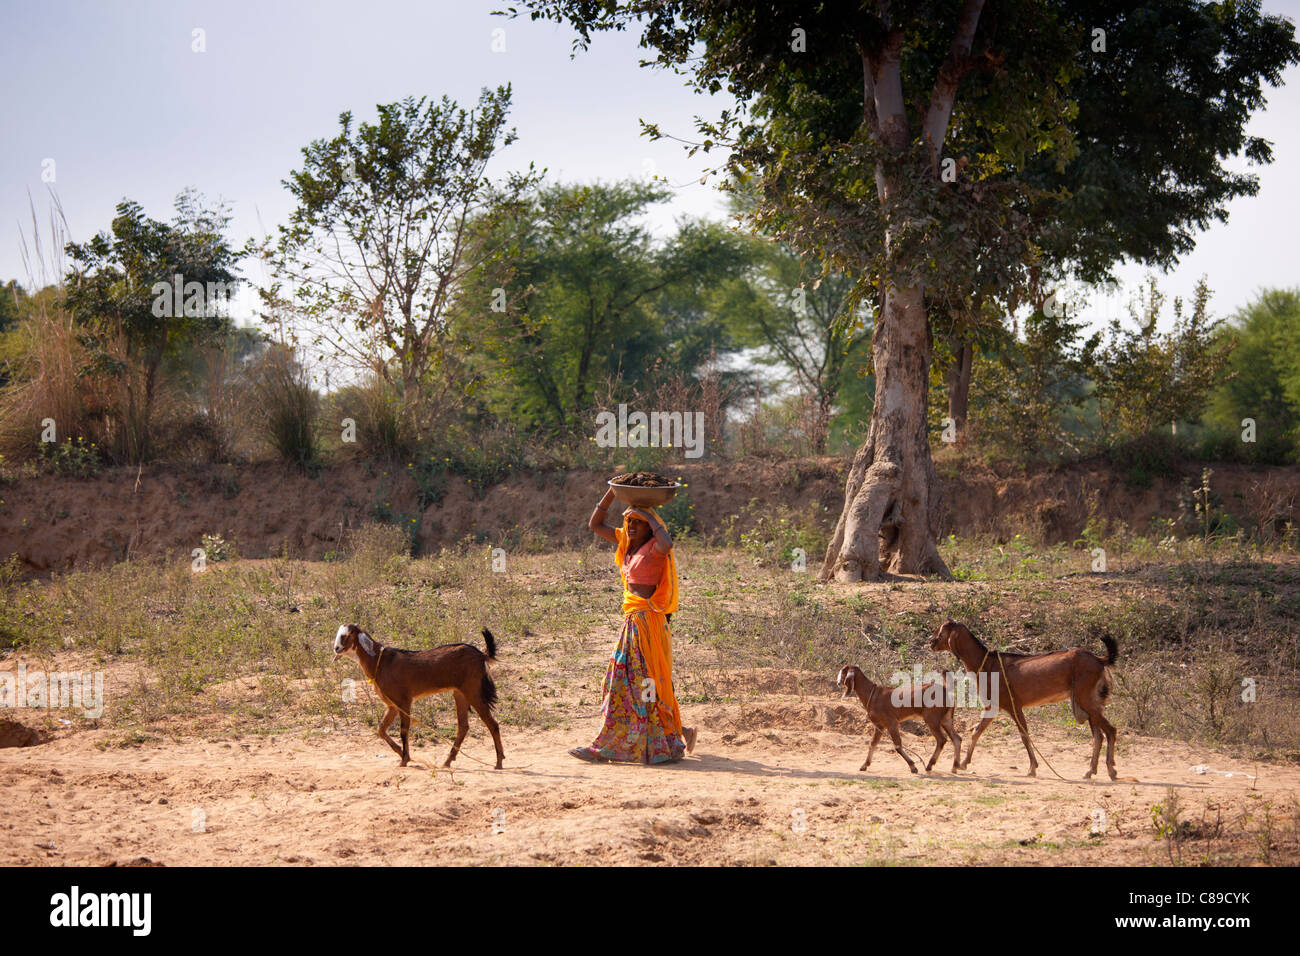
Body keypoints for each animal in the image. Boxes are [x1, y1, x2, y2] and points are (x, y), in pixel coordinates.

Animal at [332, 624, 505, 769]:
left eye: (346, 635)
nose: (336, 648)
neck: (379, 662)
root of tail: (481, 655)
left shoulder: (403, 701)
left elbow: (403, 730)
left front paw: (404, 760)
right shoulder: (392, 705)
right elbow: (381, 729)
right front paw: (401, 753)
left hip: (473, 691)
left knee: (492, 723)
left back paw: (498, 762)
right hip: (460, 693)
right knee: (463, 726)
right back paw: (447, 761)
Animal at [928, 620, 1118, 780]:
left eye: (942, 631)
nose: (931, 641)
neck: (987, 664)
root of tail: (1099, 660)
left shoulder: (1014, 706)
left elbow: (1024, 735)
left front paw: (1032, 768)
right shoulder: (993, 706)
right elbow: (976, 731)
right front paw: (963, 763)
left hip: (1085, 698)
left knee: (1110, 730)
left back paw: (1111, 770)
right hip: (1089, 700)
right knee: (1098, 736)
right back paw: (1091, 770)